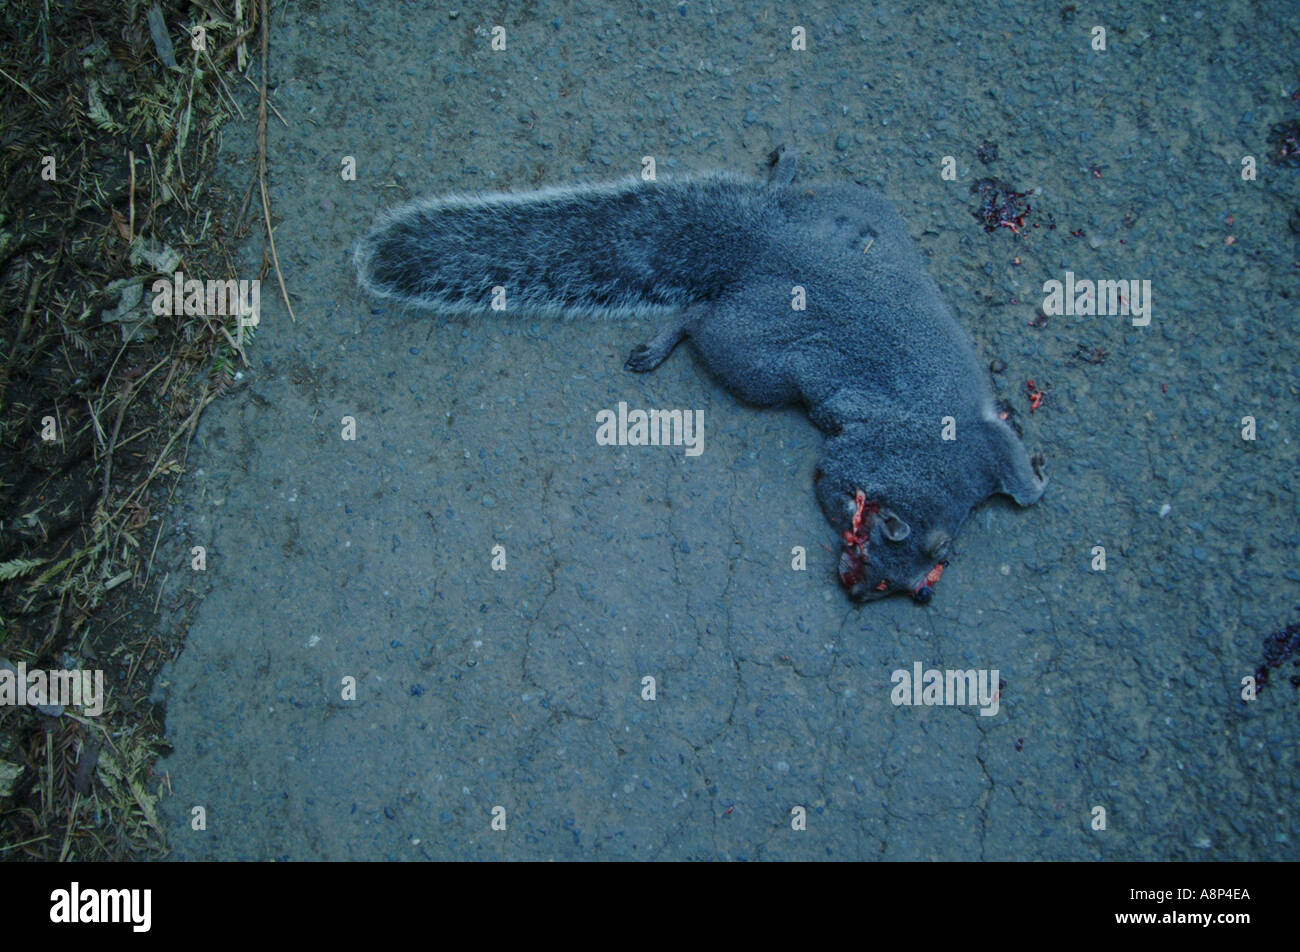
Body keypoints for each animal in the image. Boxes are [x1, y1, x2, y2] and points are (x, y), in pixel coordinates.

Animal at [354, 146, 1046, 603]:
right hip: (756, 355)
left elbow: (1014, 470)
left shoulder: (984, 450)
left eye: (903, 589)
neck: (942, 479)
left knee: (784, 203)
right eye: (875, 562)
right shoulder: (875, 459)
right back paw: (667, 338)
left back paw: (782, 175)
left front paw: (1034, 480)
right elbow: (834, 478)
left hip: (843, 211)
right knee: (699, 318)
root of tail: (764, 244)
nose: (851, 592)